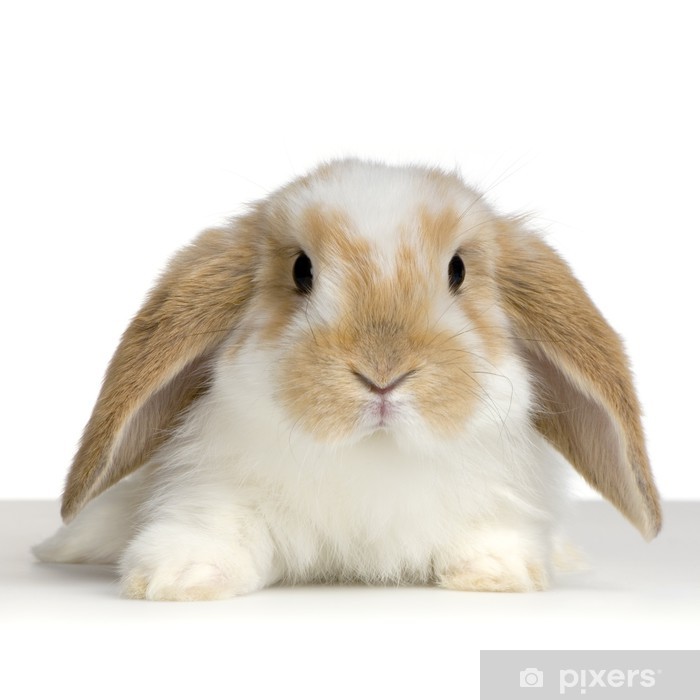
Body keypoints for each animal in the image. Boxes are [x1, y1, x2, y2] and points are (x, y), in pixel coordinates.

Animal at [33, 159, 661, 600]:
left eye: (458, 269)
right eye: (301, 270)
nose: (382, 373)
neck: (372, 455)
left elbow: (490, 535)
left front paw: (495, 572)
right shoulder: (213, 490)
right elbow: (213, 528)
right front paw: (181, 577)